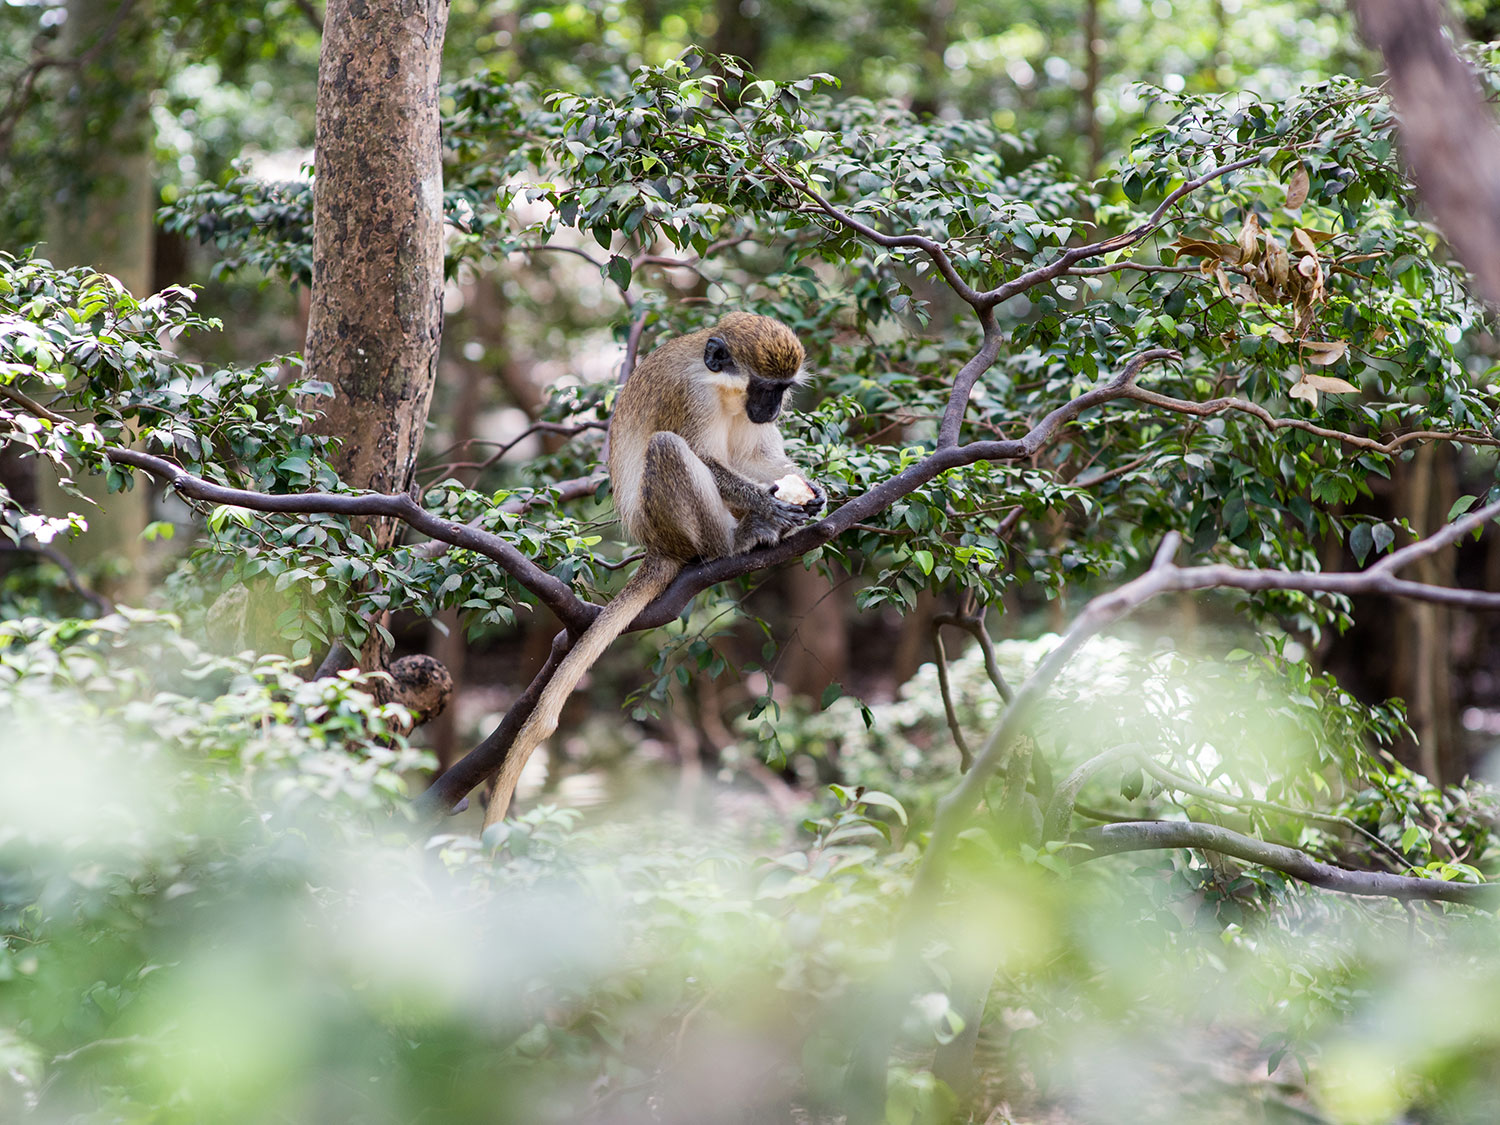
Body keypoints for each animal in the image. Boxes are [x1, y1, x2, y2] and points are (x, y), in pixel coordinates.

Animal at [481, 312, 826, 829]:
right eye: (765, 387)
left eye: (783, 389)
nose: (773, 409)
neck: (720, 386)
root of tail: (656, 546)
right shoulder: (690, 396)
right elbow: (705, 457)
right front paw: (769, 505)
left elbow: (757, 458)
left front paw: (810, 488)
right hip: (667, 523)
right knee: (669, 448)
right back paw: (737, 538)